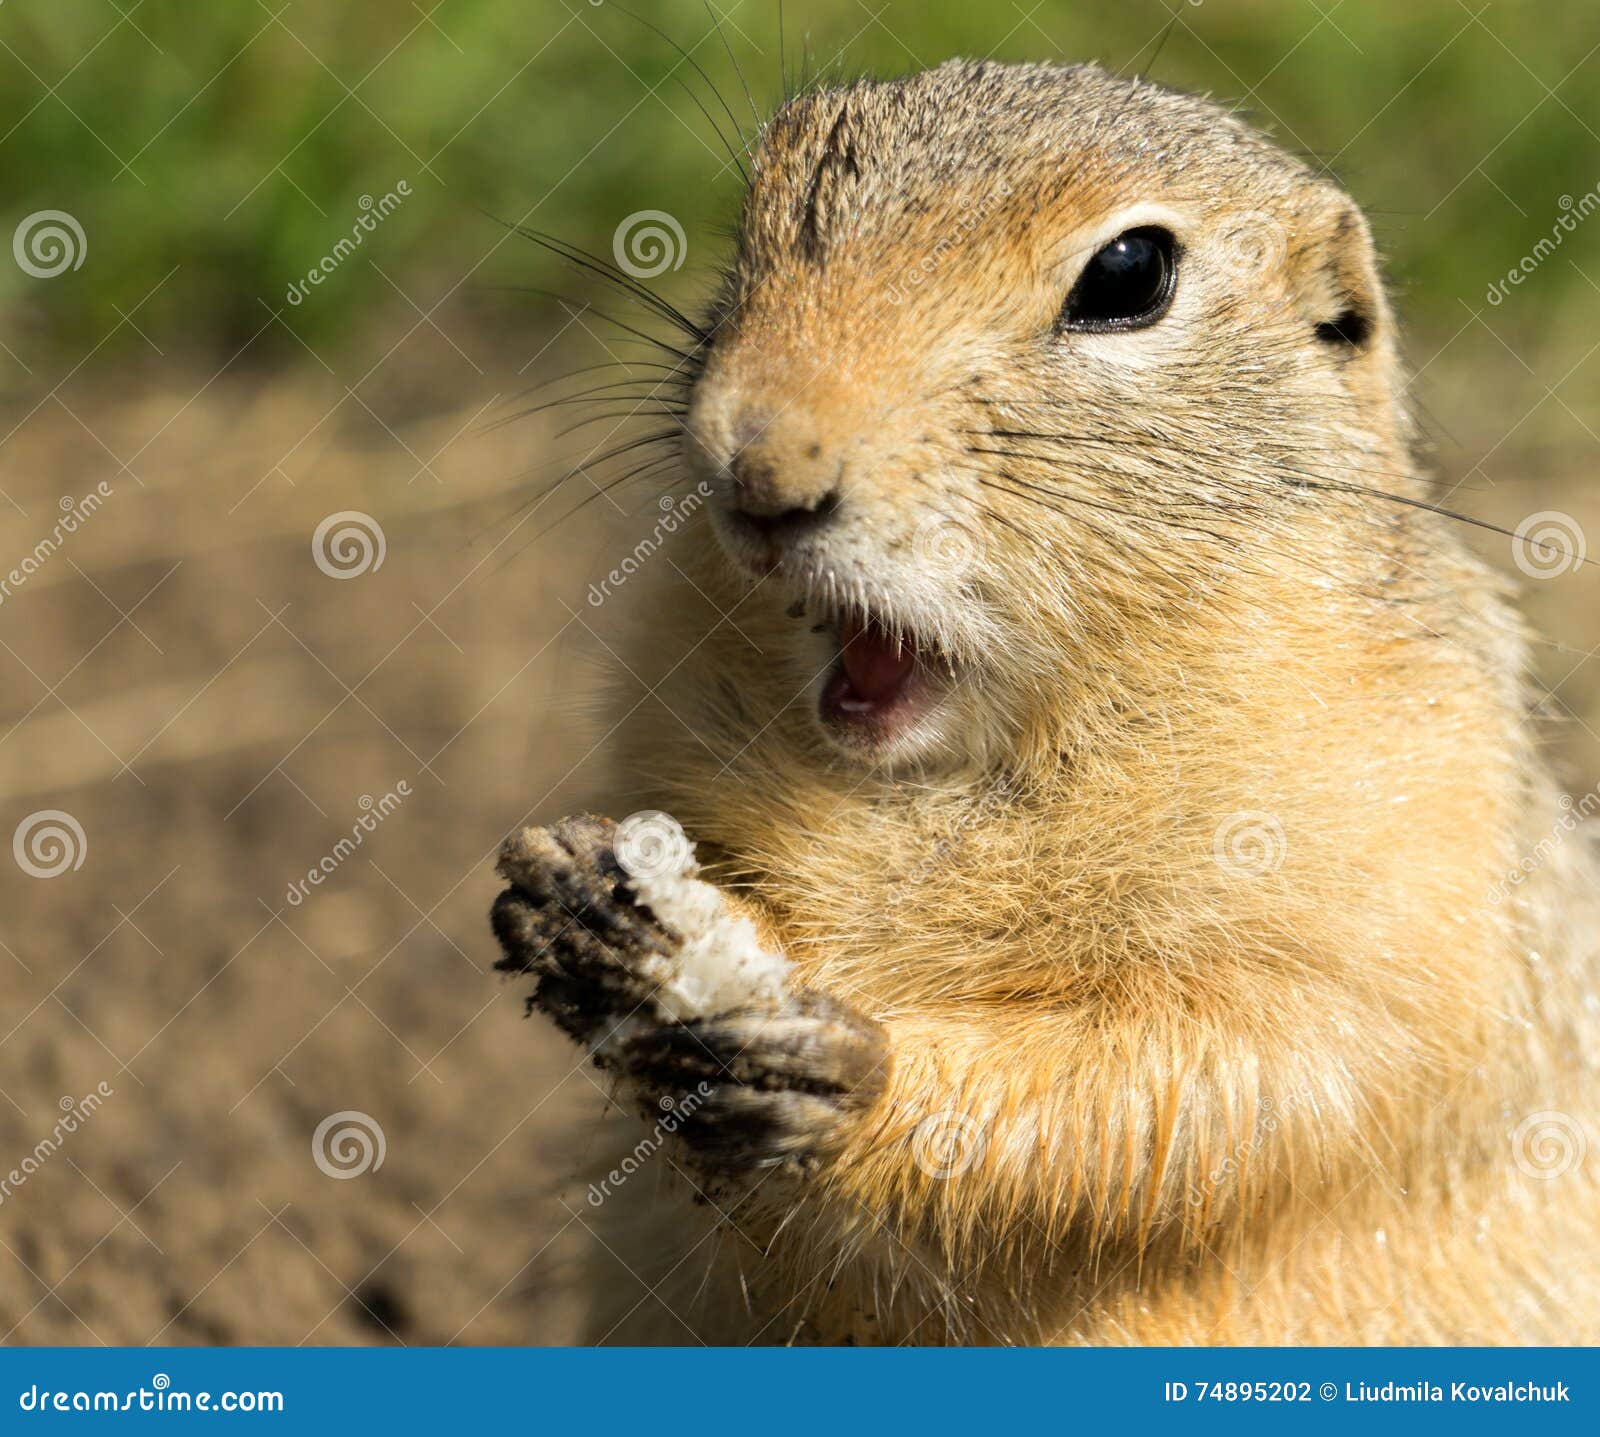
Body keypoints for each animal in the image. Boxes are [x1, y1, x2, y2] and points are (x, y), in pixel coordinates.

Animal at [491, 59, 1600, 1344]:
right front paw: (580, 900)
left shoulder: (1399, 885)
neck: (961, 761)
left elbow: (1210, 1091)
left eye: (1129, 274)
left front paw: (839, 1067)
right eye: (764, 206)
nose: (757, 472)